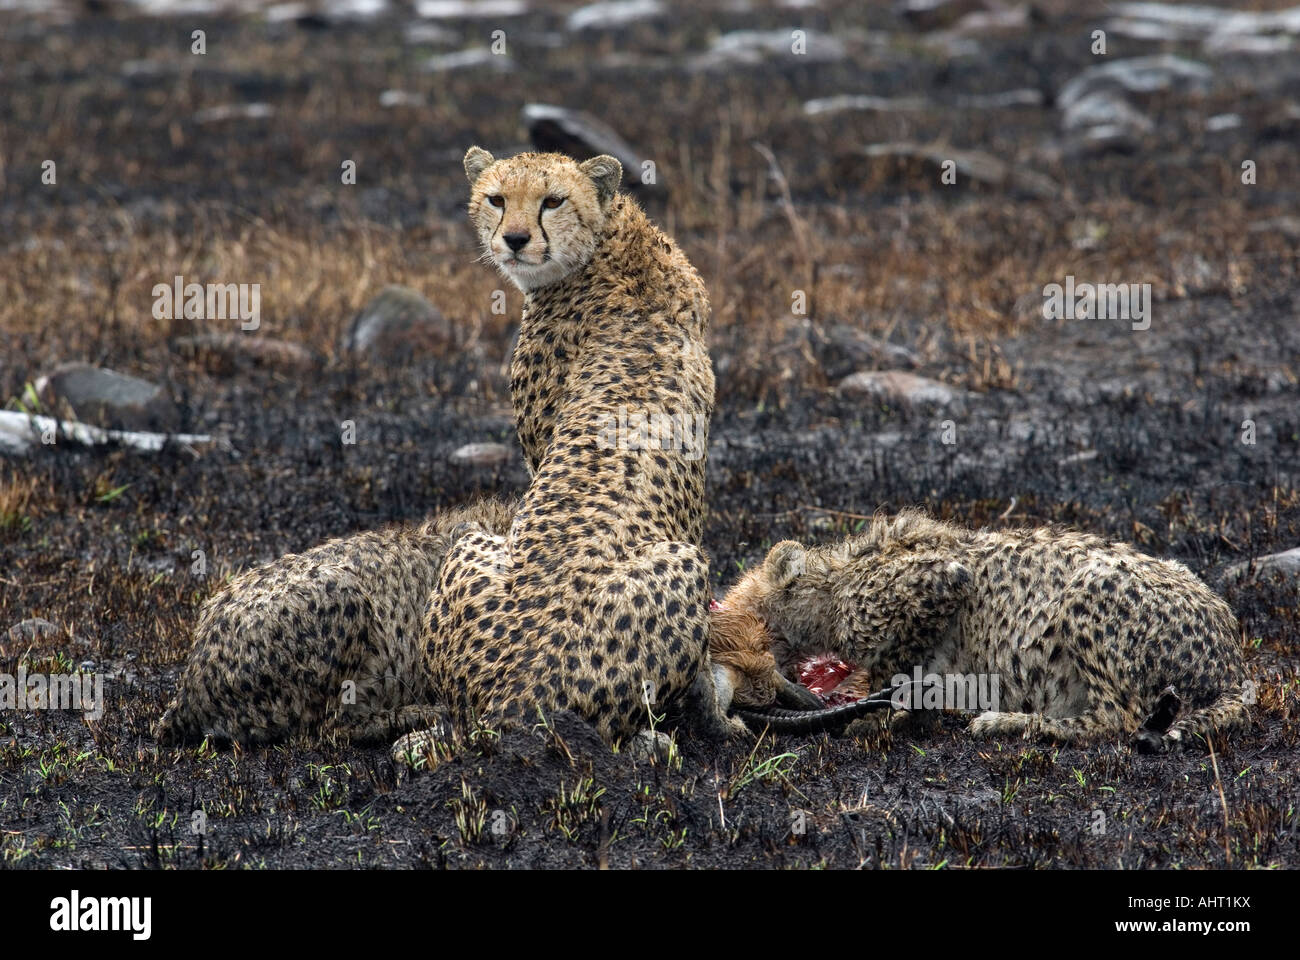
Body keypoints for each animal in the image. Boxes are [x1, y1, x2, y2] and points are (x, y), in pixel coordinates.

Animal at [718, 510, 1251, 752]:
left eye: (742, 623)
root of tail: (1233, 662)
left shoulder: (940, 580)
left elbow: (896, 668)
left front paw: (884, 715)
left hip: (1092, 587)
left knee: (1115, 717)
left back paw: (1007, 722)